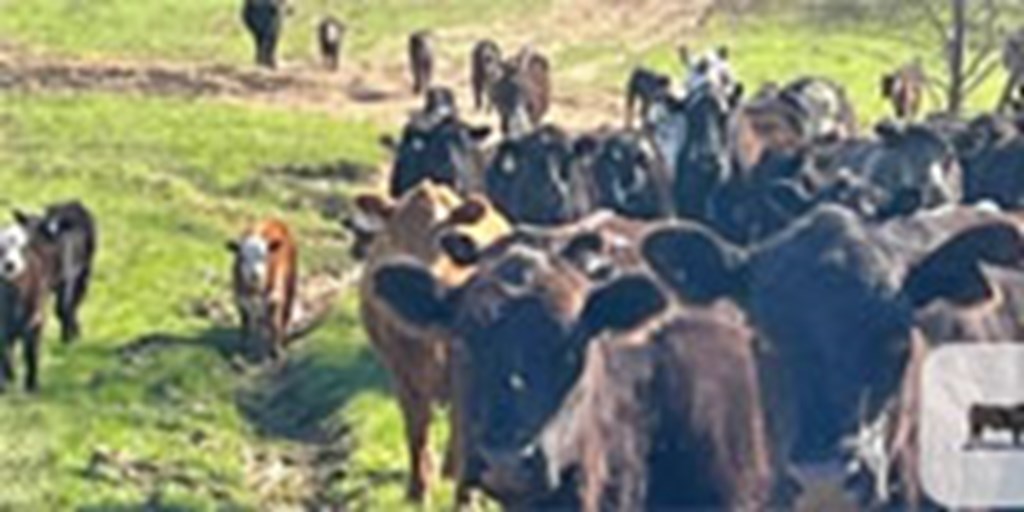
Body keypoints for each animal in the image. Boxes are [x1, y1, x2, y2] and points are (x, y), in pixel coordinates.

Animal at [227, 218, 298, 362]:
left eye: (264, 256)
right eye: (242, 257)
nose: (255, 274)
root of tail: (276, 219)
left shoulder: (274, 297)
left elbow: (275, 324)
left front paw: (275, 351)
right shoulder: (241, 299)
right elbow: (245, 325)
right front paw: (244, 347)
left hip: (290, 282)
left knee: (285, 313)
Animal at [354, 181, 512, 503]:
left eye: (443, 238)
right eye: (395, 235)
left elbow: (465, 434)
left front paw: (465, 498)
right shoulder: (400, 372)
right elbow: (416, 430)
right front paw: (418, 490)